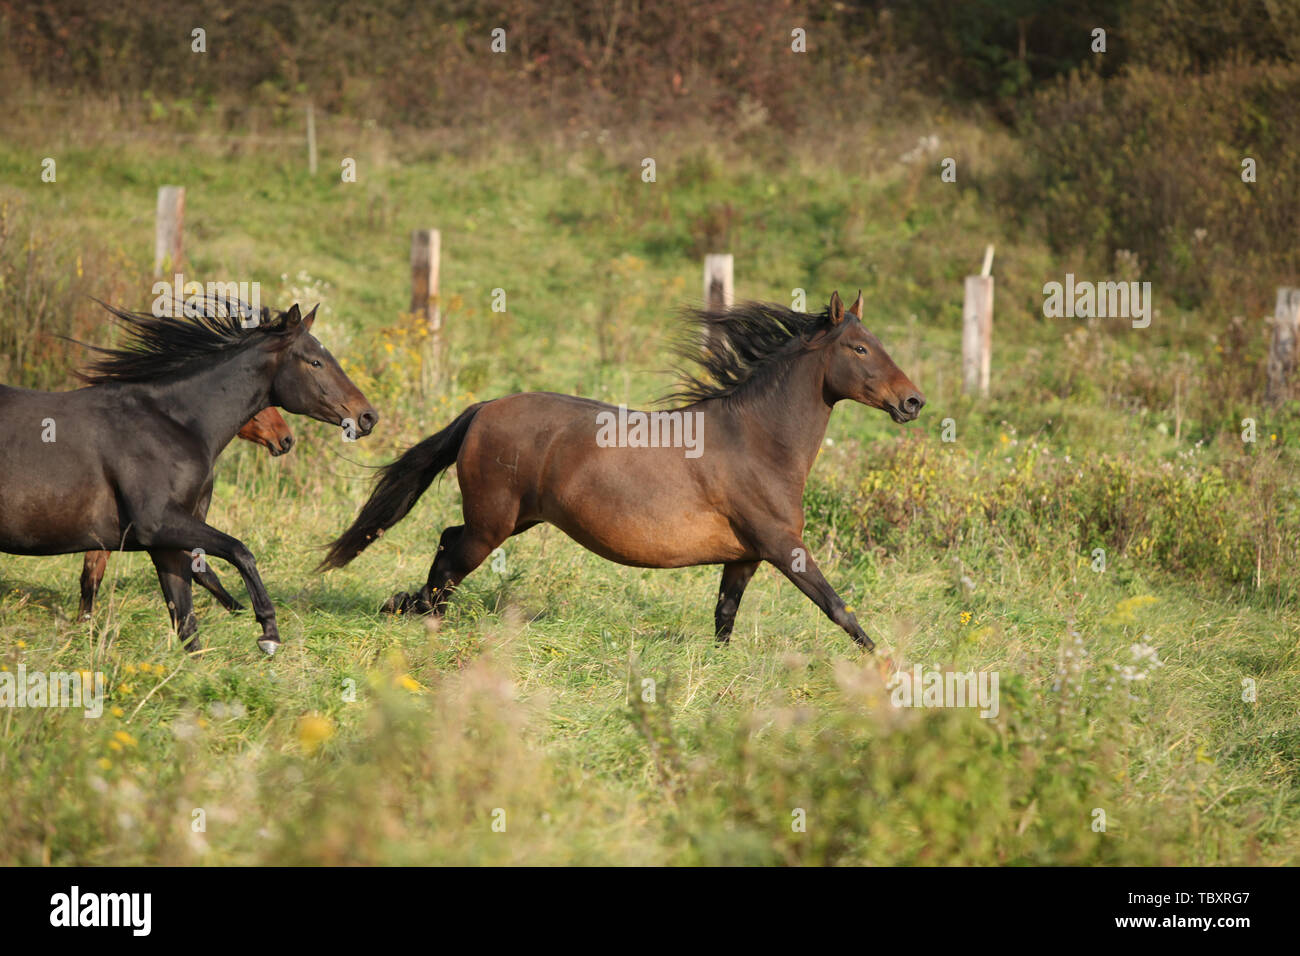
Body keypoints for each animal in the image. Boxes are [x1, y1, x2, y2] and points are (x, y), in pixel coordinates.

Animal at [320, 291, 923, 651]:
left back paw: (412, 608)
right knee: (450, 556)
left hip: (513, 520)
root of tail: (483, 409)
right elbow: (837, 606)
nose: (913, 401)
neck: (756, 442)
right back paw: (420, 614)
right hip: (493, 523)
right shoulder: (782, 546)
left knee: (447, 544)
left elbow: (724, 617)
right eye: (860, 348)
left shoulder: (745, 557)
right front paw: (883, 663)